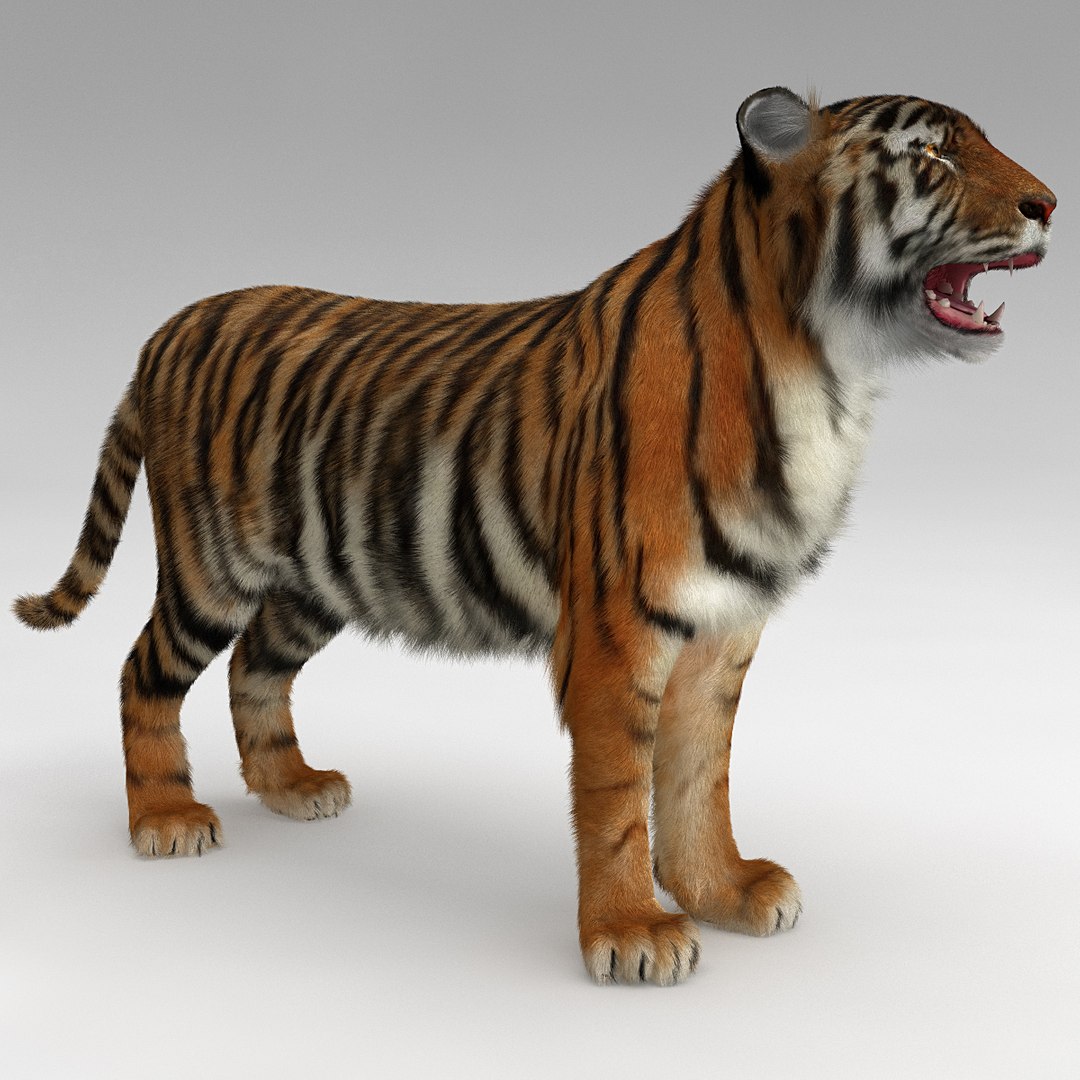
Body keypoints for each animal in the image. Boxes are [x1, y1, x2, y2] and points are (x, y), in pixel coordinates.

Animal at [13, 88, 1055, 985]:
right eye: (931, 155)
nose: (1048, 203)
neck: (828, 369)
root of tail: (167, 328)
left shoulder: (722, 629)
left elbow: (697, 780)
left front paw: (722, 890)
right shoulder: (615, 634)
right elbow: (616, 796)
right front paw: (632, 935)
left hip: (313, 581)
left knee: (254, 668)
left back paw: (294, 788)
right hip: (211, 568)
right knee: (144, 670)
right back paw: (167, 817)